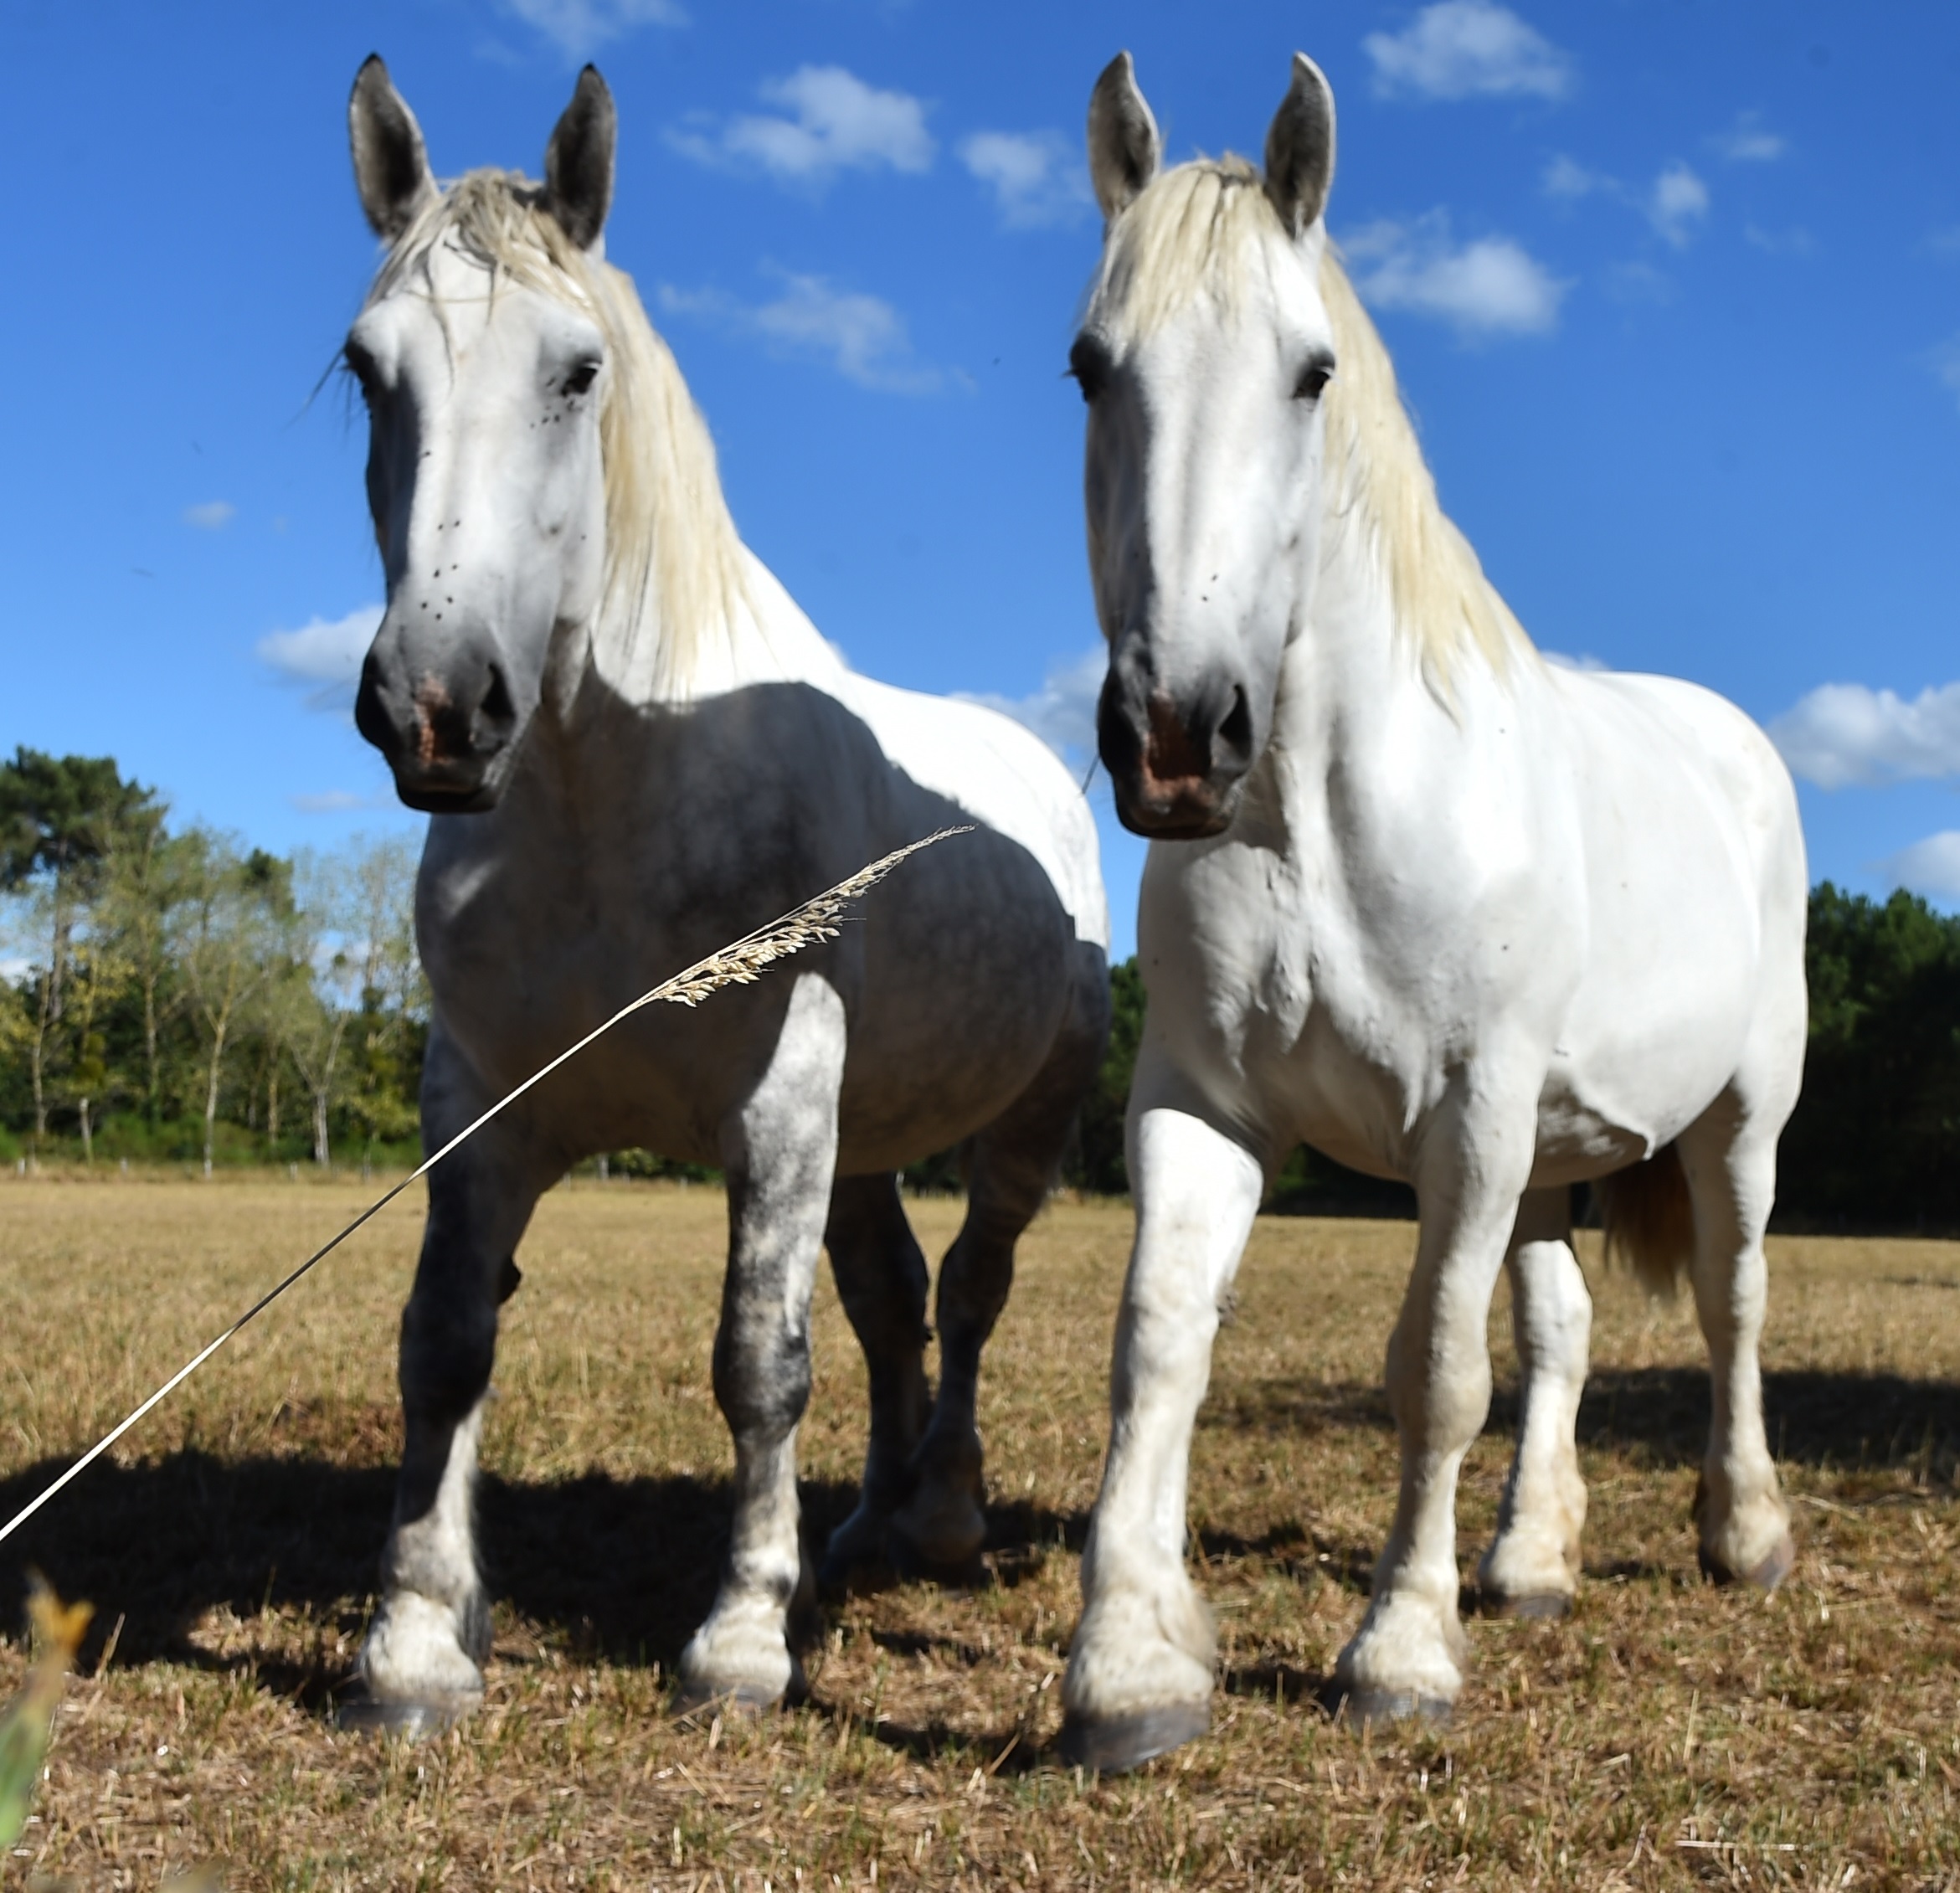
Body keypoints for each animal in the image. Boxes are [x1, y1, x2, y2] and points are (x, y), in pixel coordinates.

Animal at [336, 57, 1110, 1726]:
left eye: (576, 373)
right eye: (368, 370)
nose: (436, 706)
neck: (609, 793)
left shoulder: (779, 1100)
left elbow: (762, 1360)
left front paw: (744, 1638)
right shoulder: (480, 1097)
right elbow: (444, 1342)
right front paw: (416, 1638)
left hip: (1015, 1119)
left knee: (971, 1289)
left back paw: (941, 1516)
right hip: (862, 1141)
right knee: (891, 1295)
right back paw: (872, 1516)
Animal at [1055, 52, 1807, 1771]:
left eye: (1311, 372)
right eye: (1088, 367)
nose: (1177, 735)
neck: (1319, 825)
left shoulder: (1468, 1116)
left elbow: (1439, 1372)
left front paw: (1398, 1653)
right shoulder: (1201, 1105)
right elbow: (1157, 1344)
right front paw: (1130, 1668)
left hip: (1731, 1122)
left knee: (1728, 1302)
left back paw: (1743, 1533)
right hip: (1552, 1155)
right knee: (1568, 1332)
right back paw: (1527, 1564)